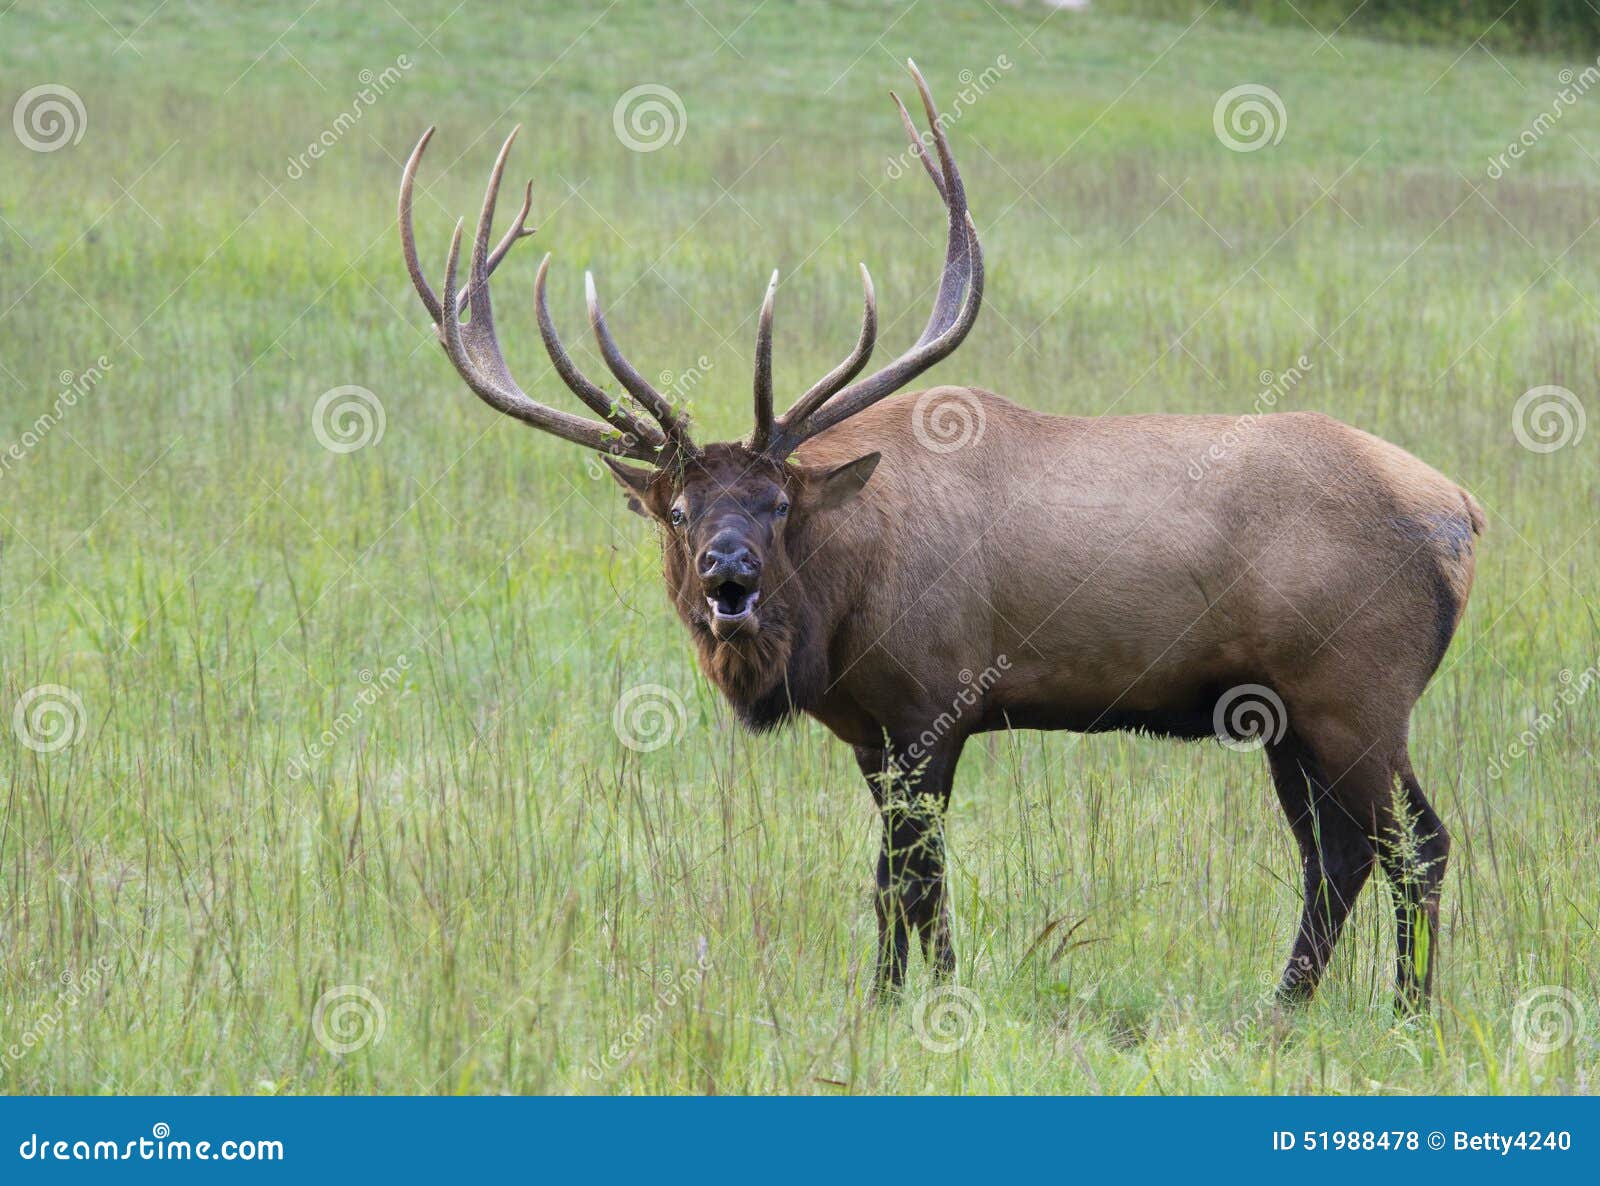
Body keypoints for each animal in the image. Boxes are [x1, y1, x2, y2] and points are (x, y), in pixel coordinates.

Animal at [398, 62, 1481, 1012]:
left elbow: (914, 880)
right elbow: (897, 885)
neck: (837, 615)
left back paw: (1405, 1012)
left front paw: (934, 1001)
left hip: (1355, 690)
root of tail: (1463, 517)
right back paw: (1287, 1010)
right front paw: (883, 1001)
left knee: (1416, 842)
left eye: (779, 503)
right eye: (677, 508)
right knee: (1339, 854)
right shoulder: (872, 733)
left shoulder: (936, 703)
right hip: (1282, 711)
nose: (726, 574)